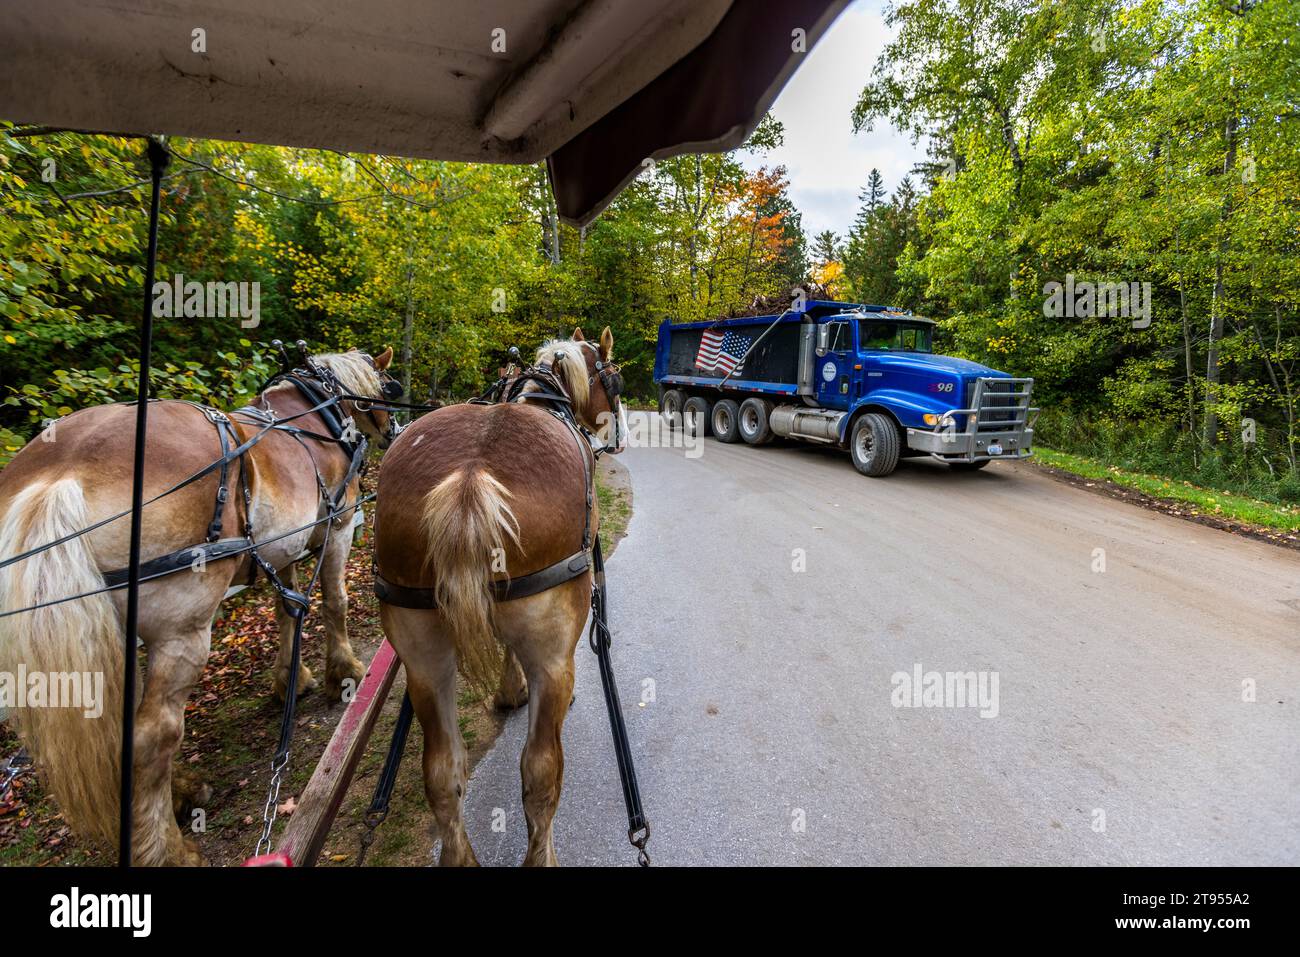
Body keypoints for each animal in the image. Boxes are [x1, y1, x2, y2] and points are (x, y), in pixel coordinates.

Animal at [0, 348, 398, 865]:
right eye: (388, 387)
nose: (392, 429)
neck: (317, 413)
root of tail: (59, 474)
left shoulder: (280, 546)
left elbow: (287, 610)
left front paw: (292, 680)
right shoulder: (340, 522)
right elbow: (335, 601)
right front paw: (344, 673)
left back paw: (180, 793)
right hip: (183, 623)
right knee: (152, 737)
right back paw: (170, 850)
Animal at [373, 326, 626, 866]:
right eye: (612, 379)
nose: (618, 437)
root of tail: (470, 478)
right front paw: (513, 692)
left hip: (421, 654)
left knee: (443, 772)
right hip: (552, 650)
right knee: (541, 772)